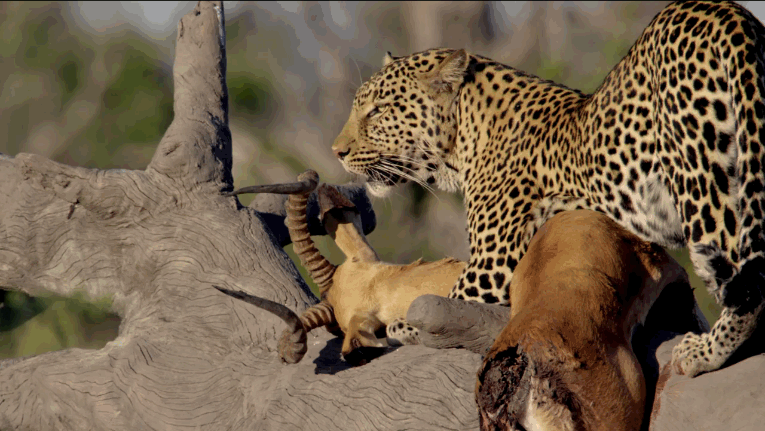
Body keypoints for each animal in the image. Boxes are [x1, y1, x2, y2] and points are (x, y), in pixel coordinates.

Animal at [330, 0, 765, 378]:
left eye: (377, 111)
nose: (338, 151)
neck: (465, 137)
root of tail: (726, 12)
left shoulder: (489, 269)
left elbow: (433, 304)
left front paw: (396, 328)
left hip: (701, 174)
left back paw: (705, 352)